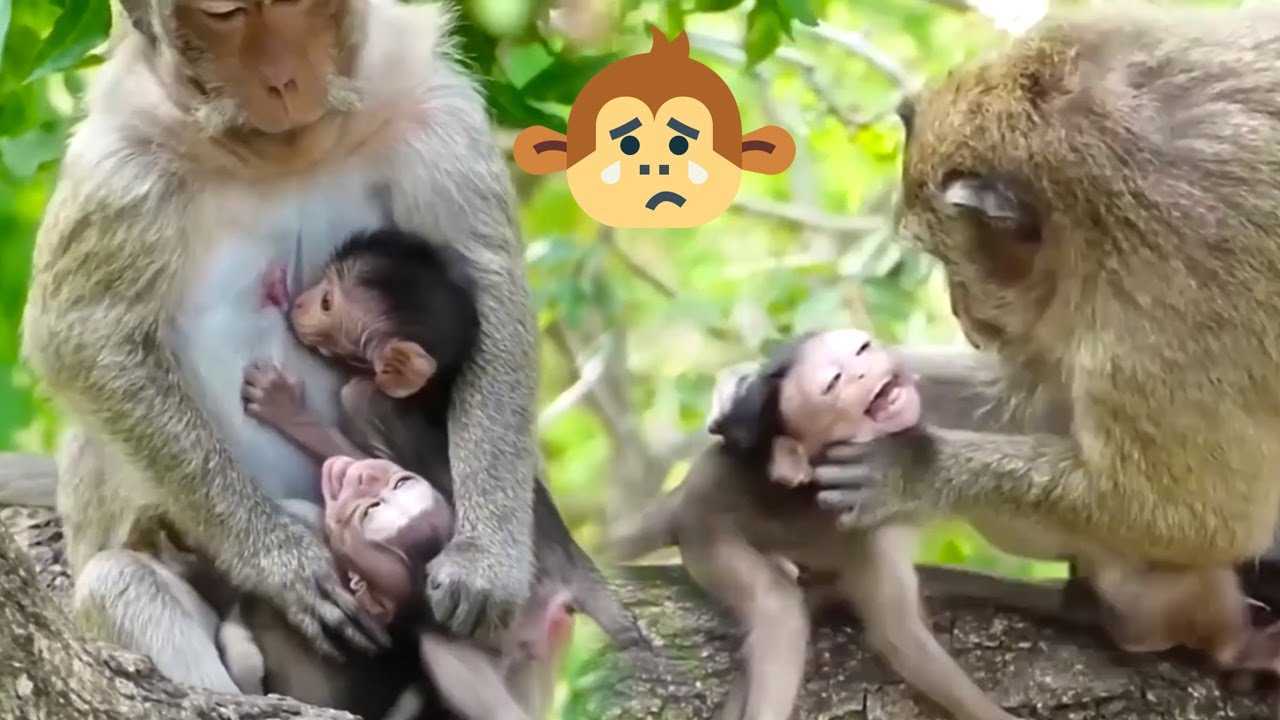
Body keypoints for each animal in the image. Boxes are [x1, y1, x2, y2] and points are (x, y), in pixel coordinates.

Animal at [18, 0, 543, 691]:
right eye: (223, 15)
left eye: (299, 9)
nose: (282, 79)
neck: (280, 153)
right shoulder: (121, 164)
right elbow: (83, 336)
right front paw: (283, 564)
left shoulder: (433, 109)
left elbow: (489, 286)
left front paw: (484, 563)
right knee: (120, 579)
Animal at [609, 328, 1027, 720]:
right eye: (833, 383)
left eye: (863, 350)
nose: (863, 370)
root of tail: (685, 494)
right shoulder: (867, 528)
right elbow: (898, 636)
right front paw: (996, 715)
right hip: (709, 535)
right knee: (779, 612)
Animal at [792, 3, 1280, 679]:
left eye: (947, 258)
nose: (964, 316)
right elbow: (1035, 400)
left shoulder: (1172, 297)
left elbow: (1203, 515)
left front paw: (914, 468)